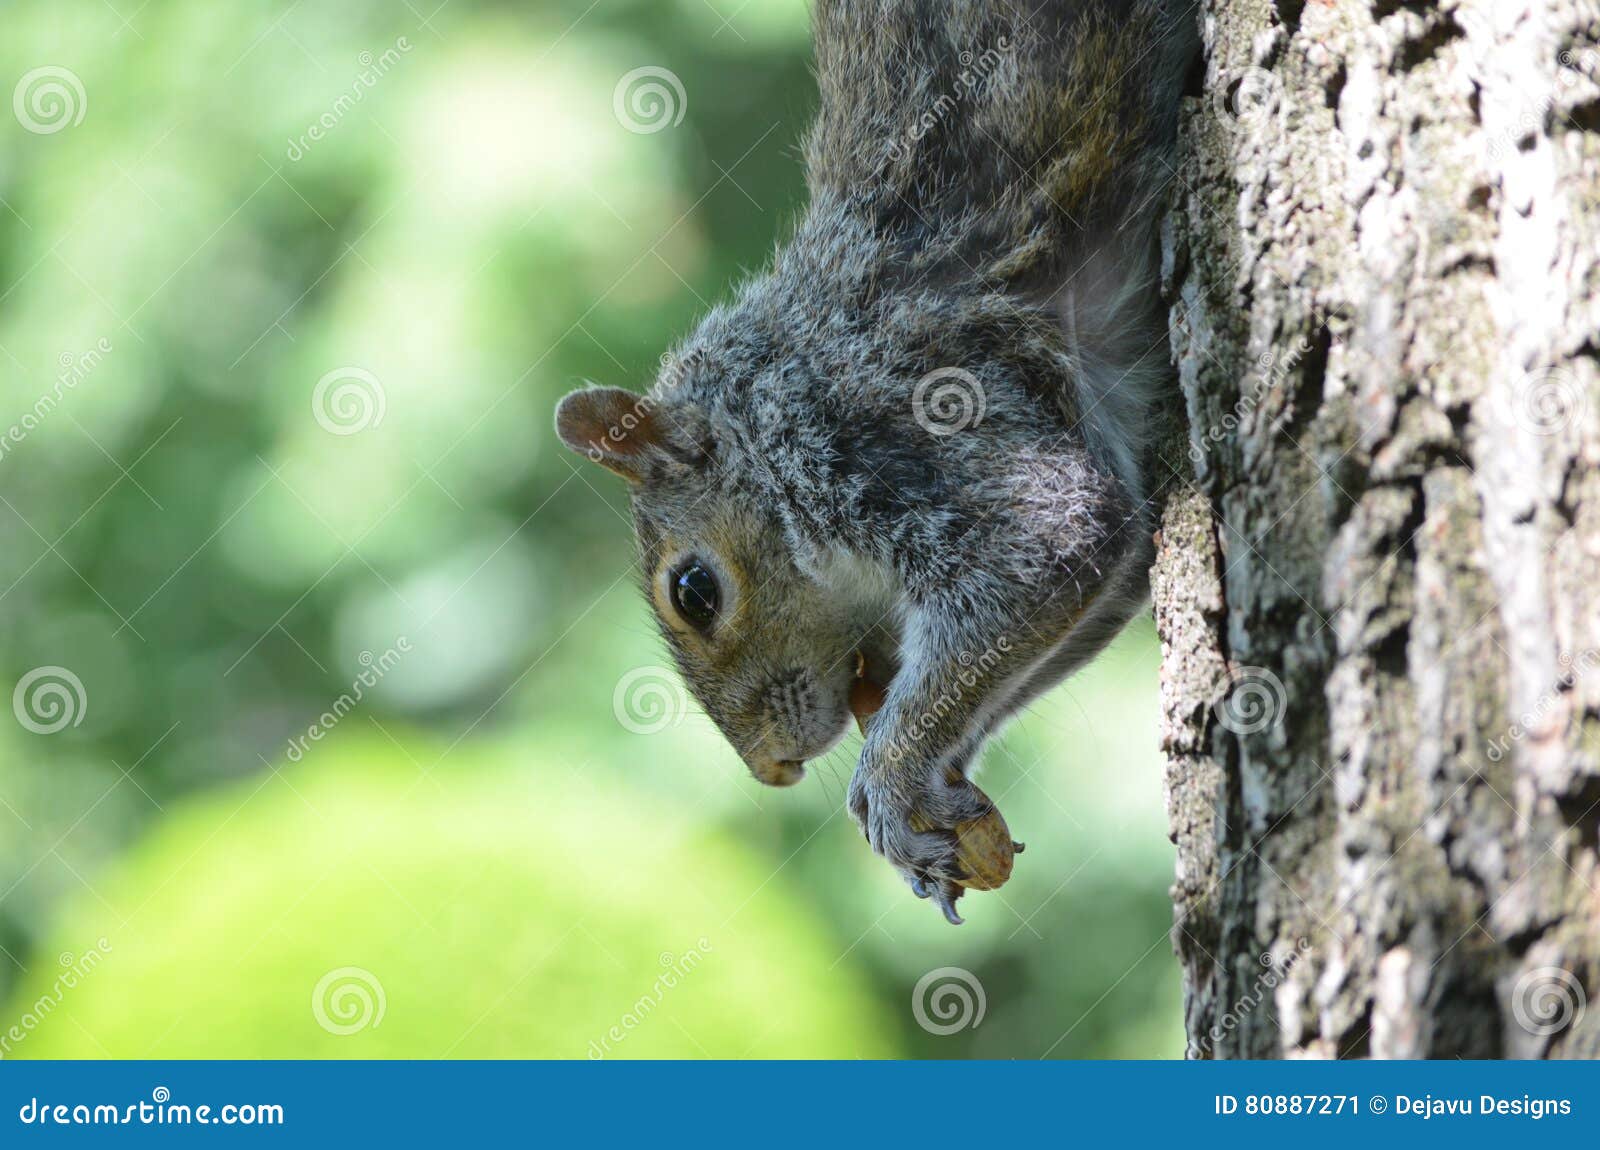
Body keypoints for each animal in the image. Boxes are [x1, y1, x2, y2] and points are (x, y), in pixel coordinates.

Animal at [557, 0, 1199, 923]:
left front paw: (890, 782)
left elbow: (1050, 544)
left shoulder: (881, 429)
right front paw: (934, 788)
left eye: (694, 592)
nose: (772, 769)